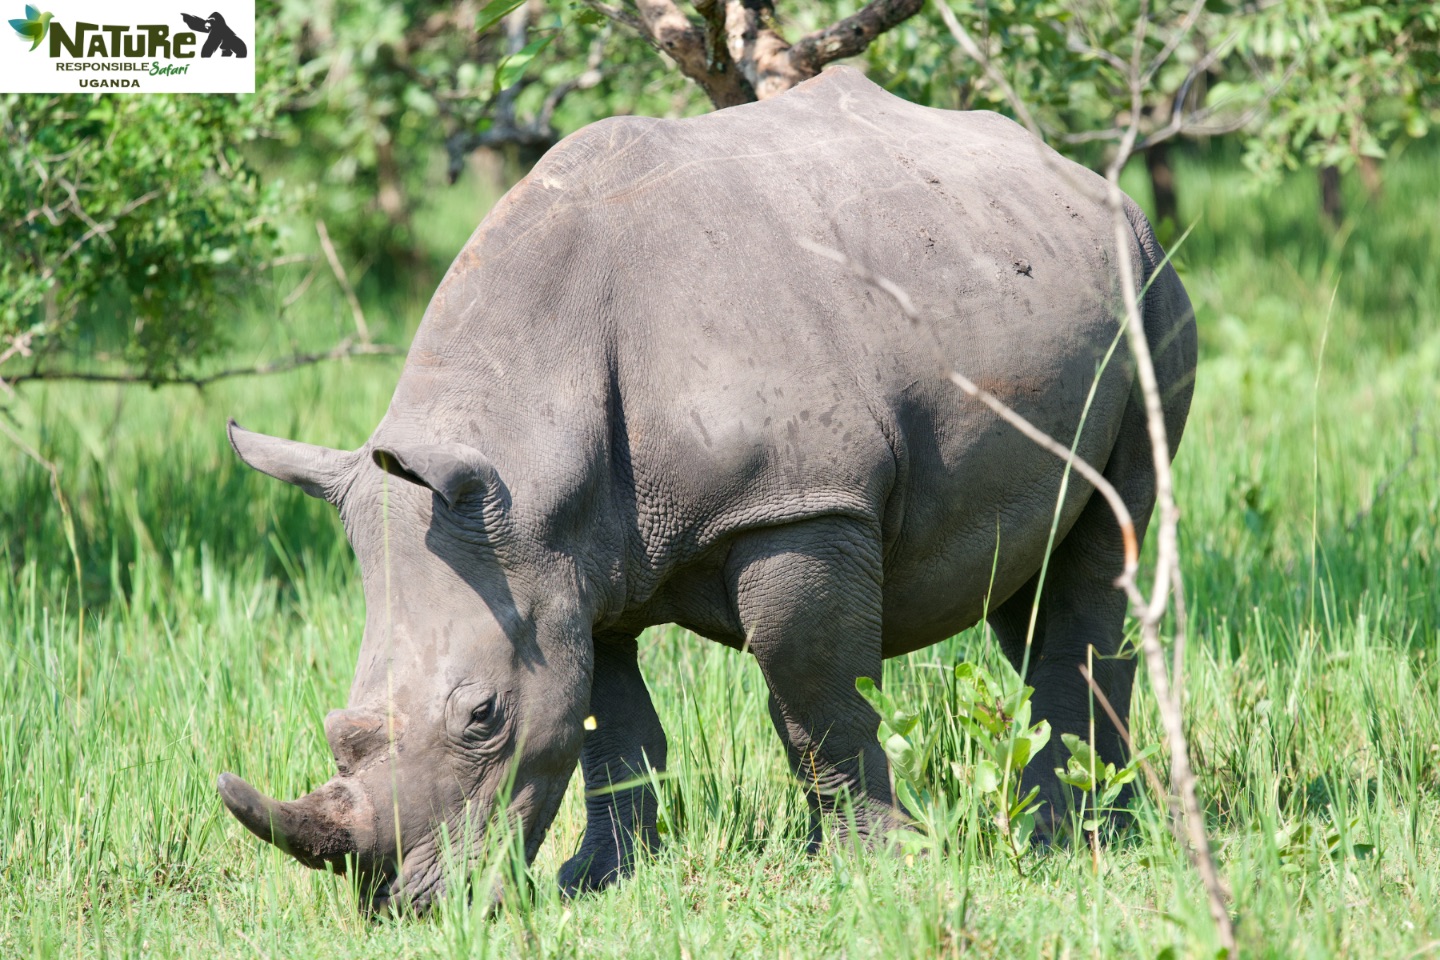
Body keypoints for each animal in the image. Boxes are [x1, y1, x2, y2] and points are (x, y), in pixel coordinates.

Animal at [218, 66, 1195, 911]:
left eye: (482, 716)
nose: (405, 906)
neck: (527, 437)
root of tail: (1084, 176)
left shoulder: (797, 505)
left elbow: (816, 698)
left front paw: (872, 869)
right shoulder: (570, 561)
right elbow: (609, 726)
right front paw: (597, 880)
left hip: (1153, 287)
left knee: (1102, 547)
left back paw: (1070, 837)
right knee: (1030, 575)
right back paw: (1095, 818)